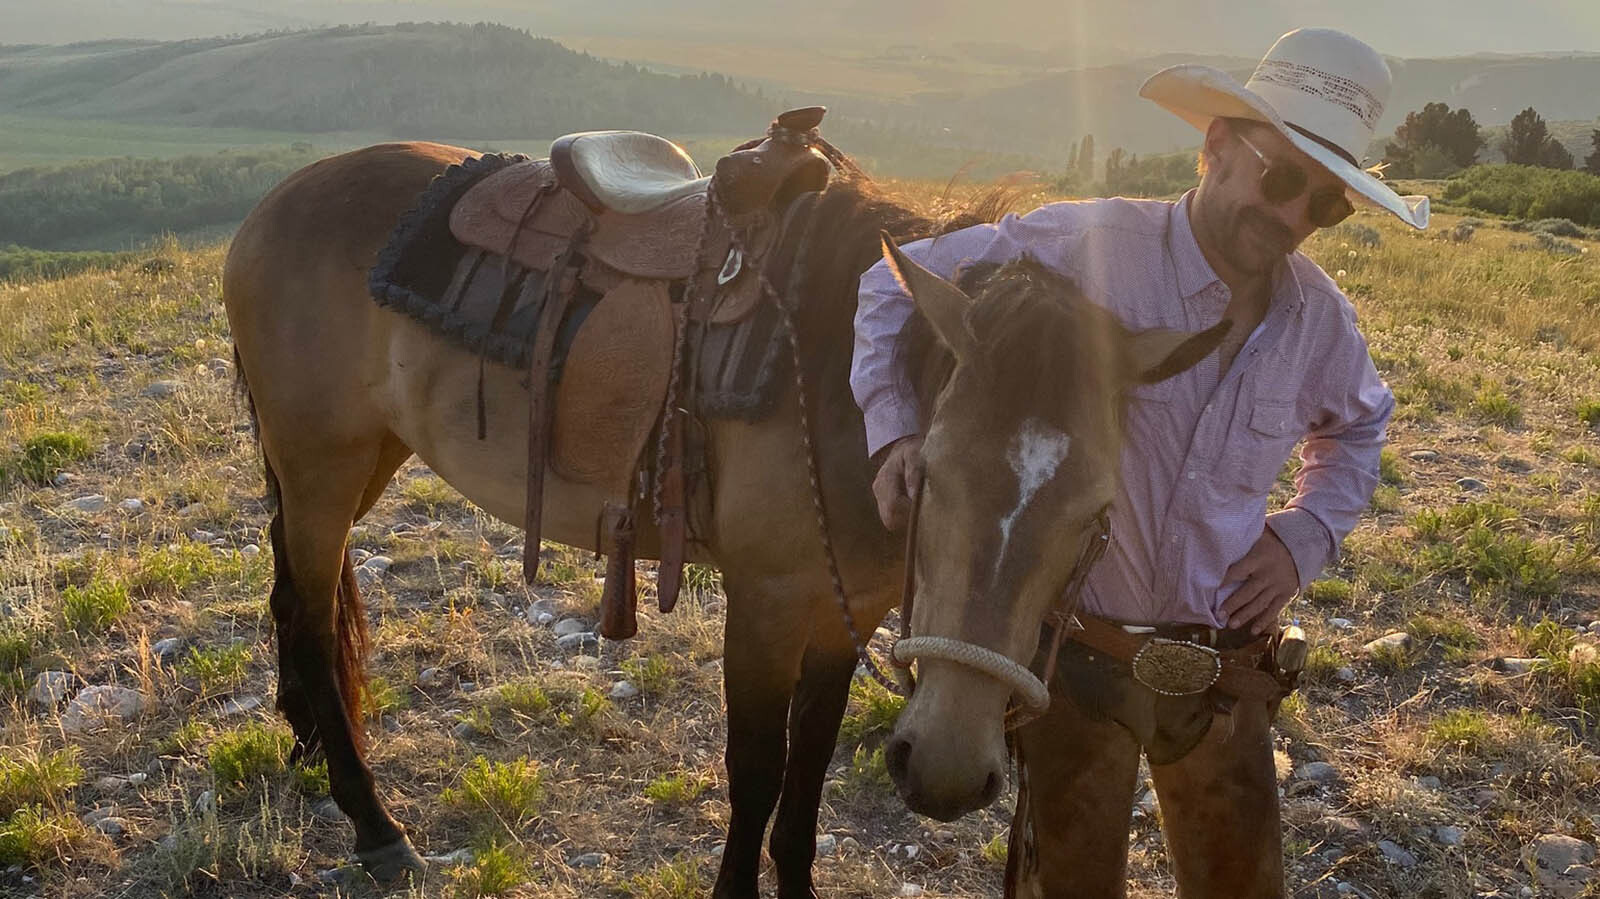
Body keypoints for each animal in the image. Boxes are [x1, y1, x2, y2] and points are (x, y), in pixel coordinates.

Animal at [223, 139, 1223, 896]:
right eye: (934, 471)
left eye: (1098, 511)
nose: (946, 768)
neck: (840, 378)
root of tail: (274, 203)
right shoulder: (768, 602)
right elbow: (756, 772)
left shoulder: (845, 608)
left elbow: (809, 767)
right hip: (319, 469)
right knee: (310, 621)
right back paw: (373, 821)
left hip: (360, 462)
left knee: (294, 603)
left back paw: (310, 744)